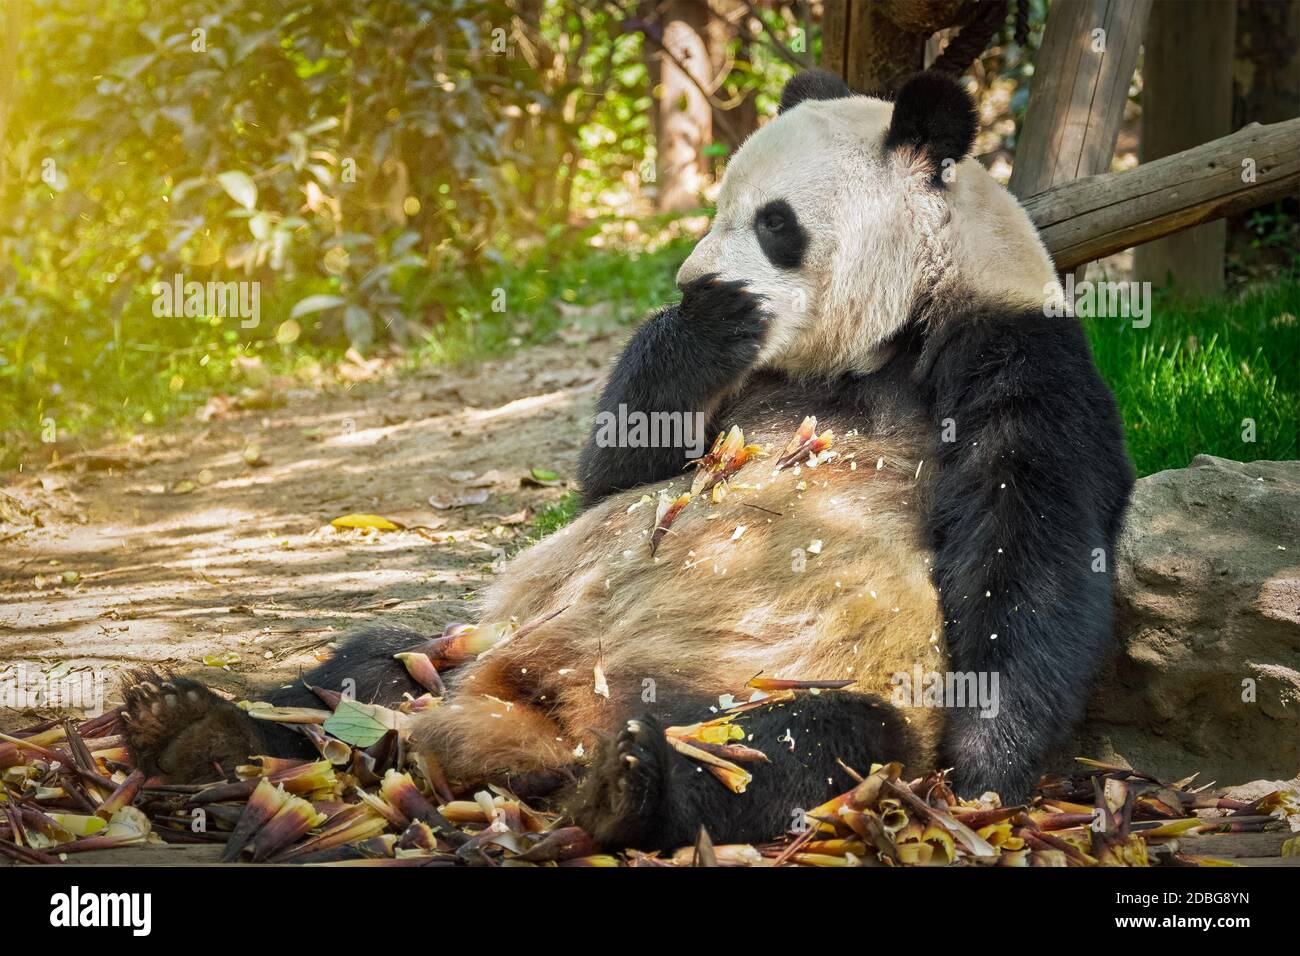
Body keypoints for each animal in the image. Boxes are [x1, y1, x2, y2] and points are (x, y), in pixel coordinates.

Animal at [120, 70, 1134, 852]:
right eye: (719, 209)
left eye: (776, 223)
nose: (693, 276)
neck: (874, 341)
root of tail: (543, 724)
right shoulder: (742, 385)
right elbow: (618, 477)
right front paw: (702, 320)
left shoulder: (1012, 349)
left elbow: (1030, 541)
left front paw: (989, 770)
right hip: (466, 648)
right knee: (361, 671)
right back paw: (197, 727)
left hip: (782, 679)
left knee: (795, 744)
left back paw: (628, 792)